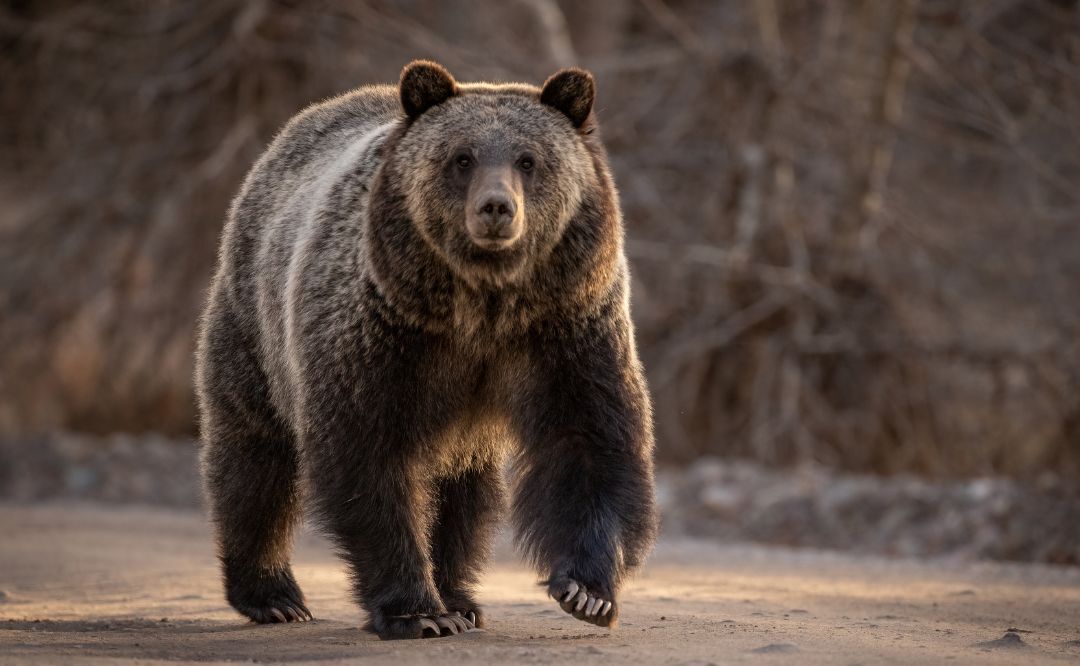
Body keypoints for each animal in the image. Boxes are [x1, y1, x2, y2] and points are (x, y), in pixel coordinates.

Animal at [196, 60, 658, 640]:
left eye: (528, 159)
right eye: (462, 157)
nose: (496, 208)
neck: (483, 304)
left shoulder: (566, 325)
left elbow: (589, 438)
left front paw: (585, 592)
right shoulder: (383, 333)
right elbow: (370, 455)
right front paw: (416, 610)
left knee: (466, 492)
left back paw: (461, 596)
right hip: (255, 326)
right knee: (255, 456)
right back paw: (273, 595)